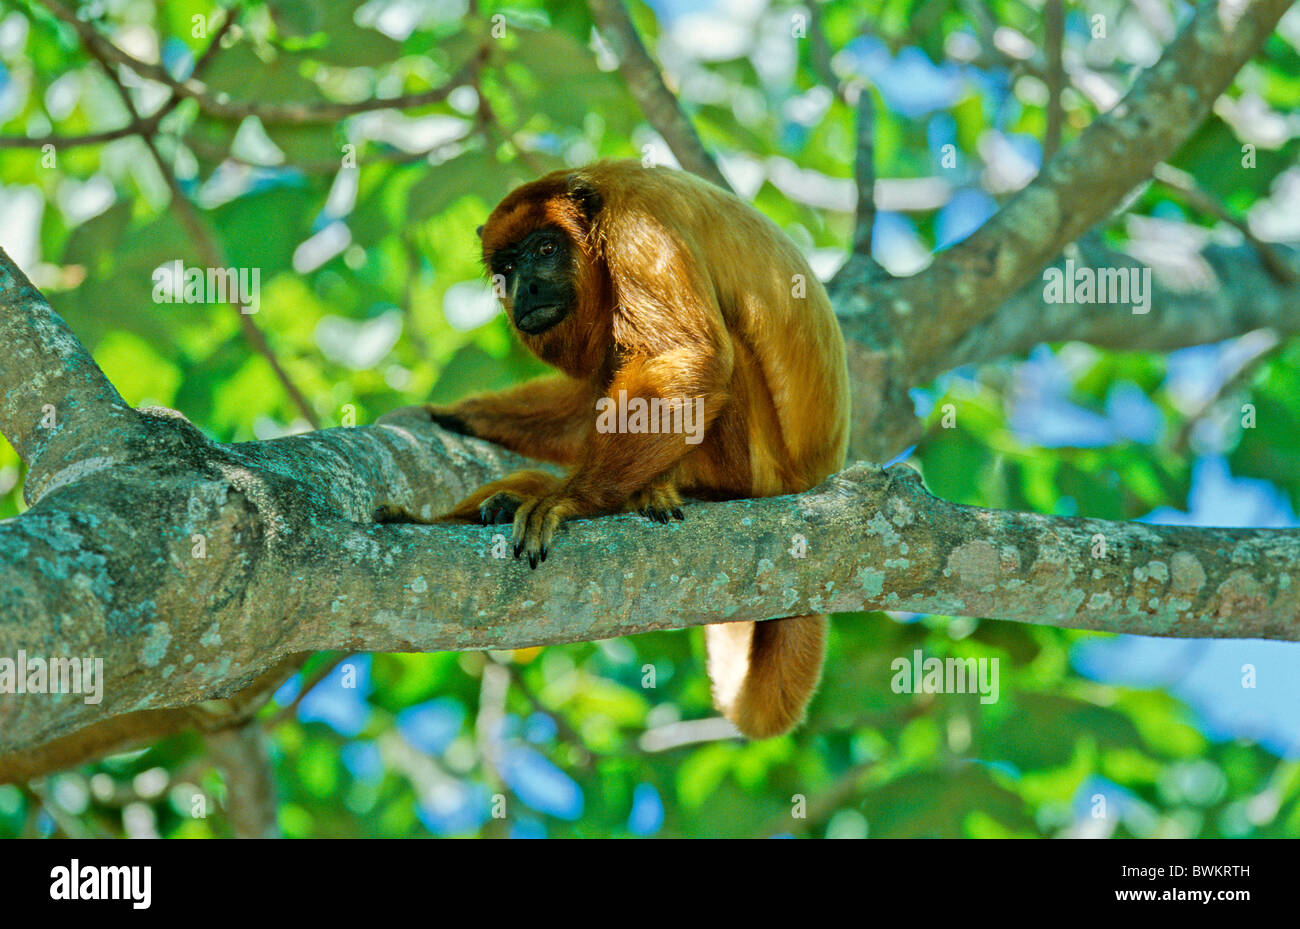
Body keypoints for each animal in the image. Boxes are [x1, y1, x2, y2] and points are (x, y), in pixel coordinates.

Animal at [379, 160, 850, 739]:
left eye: (545, 250)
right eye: (506, 266)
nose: (525, 288)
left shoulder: (639, 229)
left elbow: (688, 355)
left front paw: (568, 500)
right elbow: (589, 405)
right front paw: (453, 415)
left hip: (763, 472)